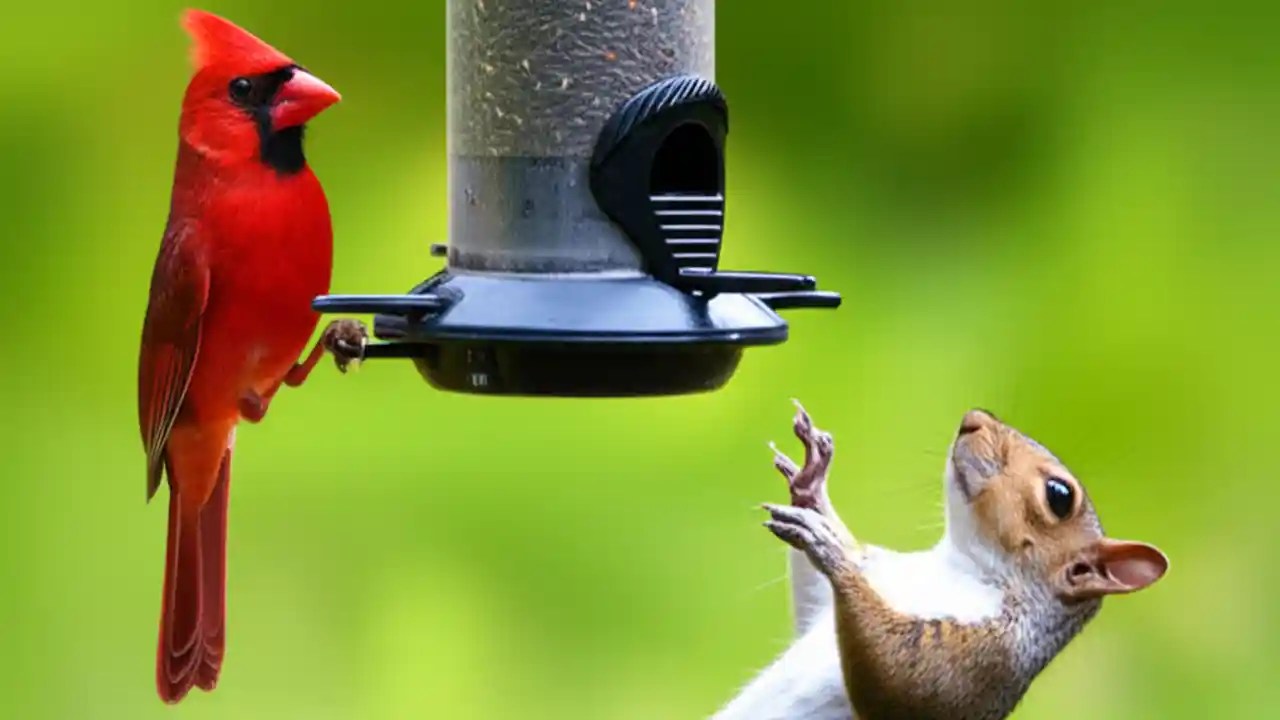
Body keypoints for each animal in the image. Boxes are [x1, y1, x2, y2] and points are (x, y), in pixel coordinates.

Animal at [714, 403, 1169, 720]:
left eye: (1059, 495)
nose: (973, 418)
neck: (957, 564)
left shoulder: (988, 658)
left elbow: (904, 680)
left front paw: (832, 549)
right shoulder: (869, 575)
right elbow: (813, 596)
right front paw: (812, 485)